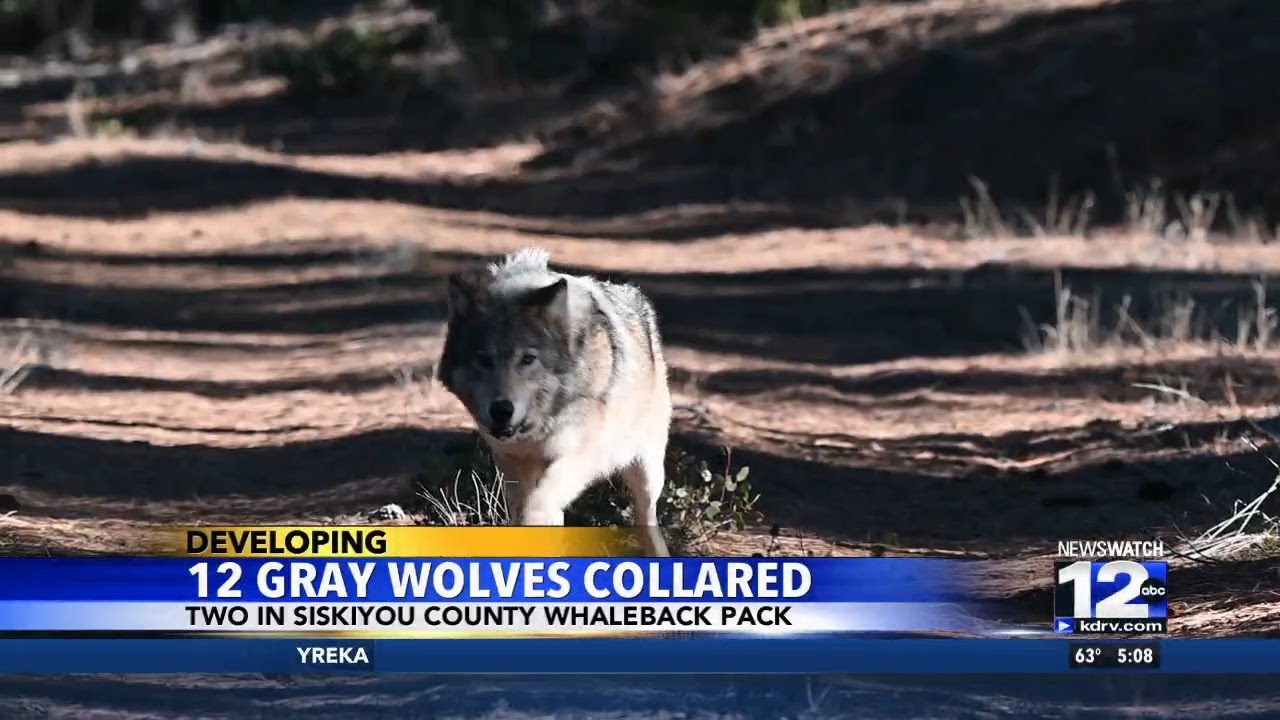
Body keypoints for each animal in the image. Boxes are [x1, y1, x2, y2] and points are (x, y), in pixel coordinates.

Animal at [437, 247, 672, 557]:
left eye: (527, 359)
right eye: (483, 360)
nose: (501, 410)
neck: (538, 427)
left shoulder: (581, 455)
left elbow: (538, 504)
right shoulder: (512, 460)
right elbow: (526, 507)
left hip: (646, 471)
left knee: (646, 516)